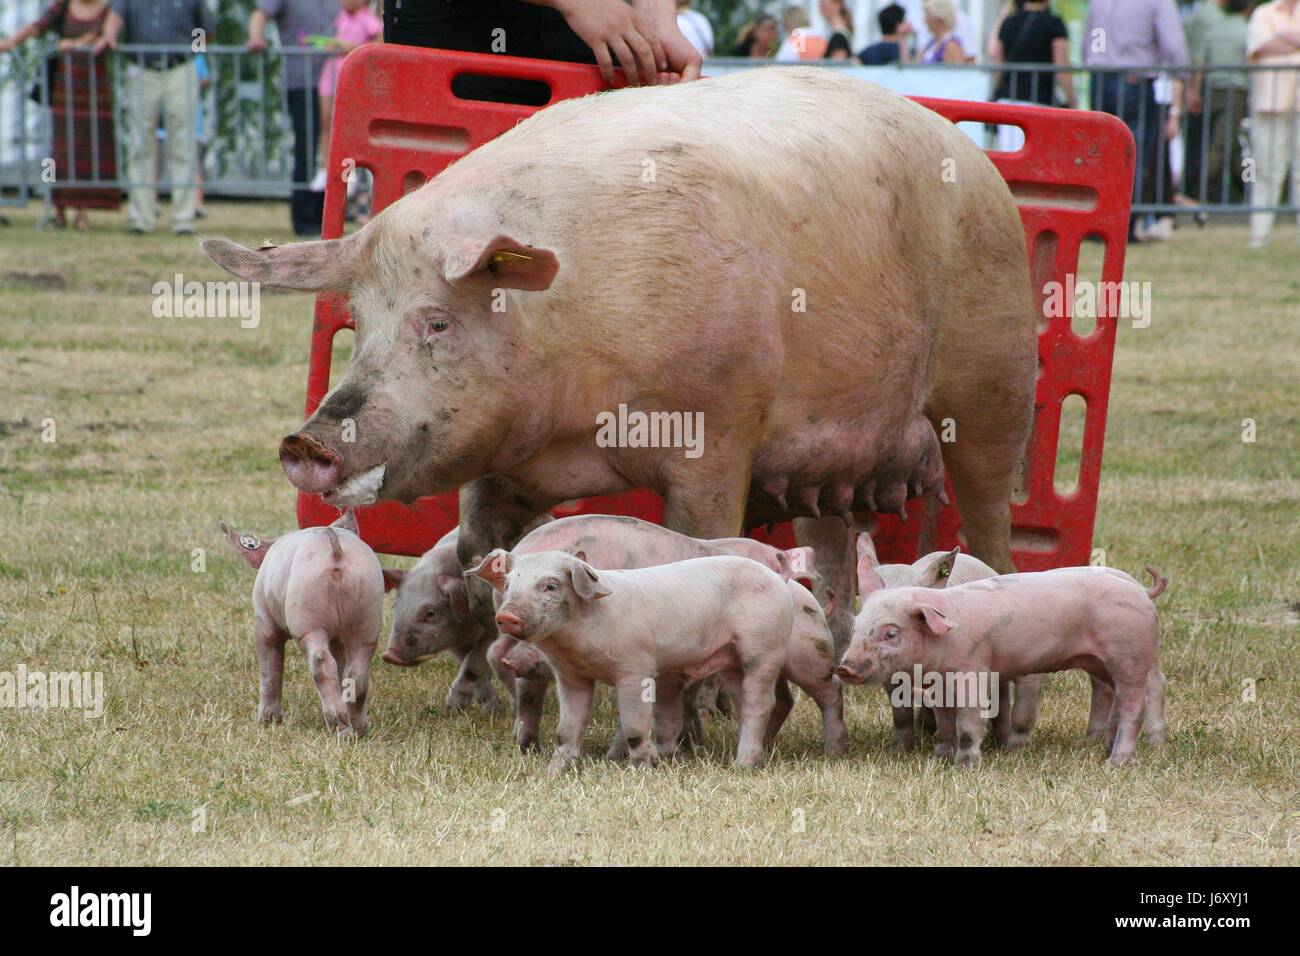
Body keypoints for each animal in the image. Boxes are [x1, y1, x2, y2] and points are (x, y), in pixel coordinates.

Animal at [201, 67, 1036, 646]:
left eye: (436, 322)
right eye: (361, 320)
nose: (306, 441)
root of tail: (978, 162)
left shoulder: (718, 432)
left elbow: (703, 537)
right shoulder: (506, 465)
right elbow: (479, 555)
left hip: (995, 381)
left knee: (991, 520)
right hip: (830, 458)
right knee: (832, 547)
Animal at [222, 510, 384, 737]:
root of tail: (335, 550)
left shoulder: (264, 620)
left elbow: (269, 668)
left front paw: (267, 722)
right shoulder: (338, 635)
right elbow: (340, 660)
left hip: (308, 613)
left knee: (320, 661)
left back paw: (340, 730)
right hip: (368, 608)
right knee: (356, 671)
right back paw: (359, 729)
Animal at [837, 564, 1170, 766]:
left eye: (891, 633)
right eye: (856, 627)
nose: (845, 668)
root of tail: (1141, 592)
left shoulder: (973, 673)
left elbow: (968, 724)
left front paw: (965, 767)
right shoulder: (941, 685)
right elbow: (945, 724)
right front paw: (938, 759)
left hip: (1130, 657)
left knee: (1134, 705)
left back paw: (1116, 762)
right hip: (1104, 663)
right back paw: (1112, 749)